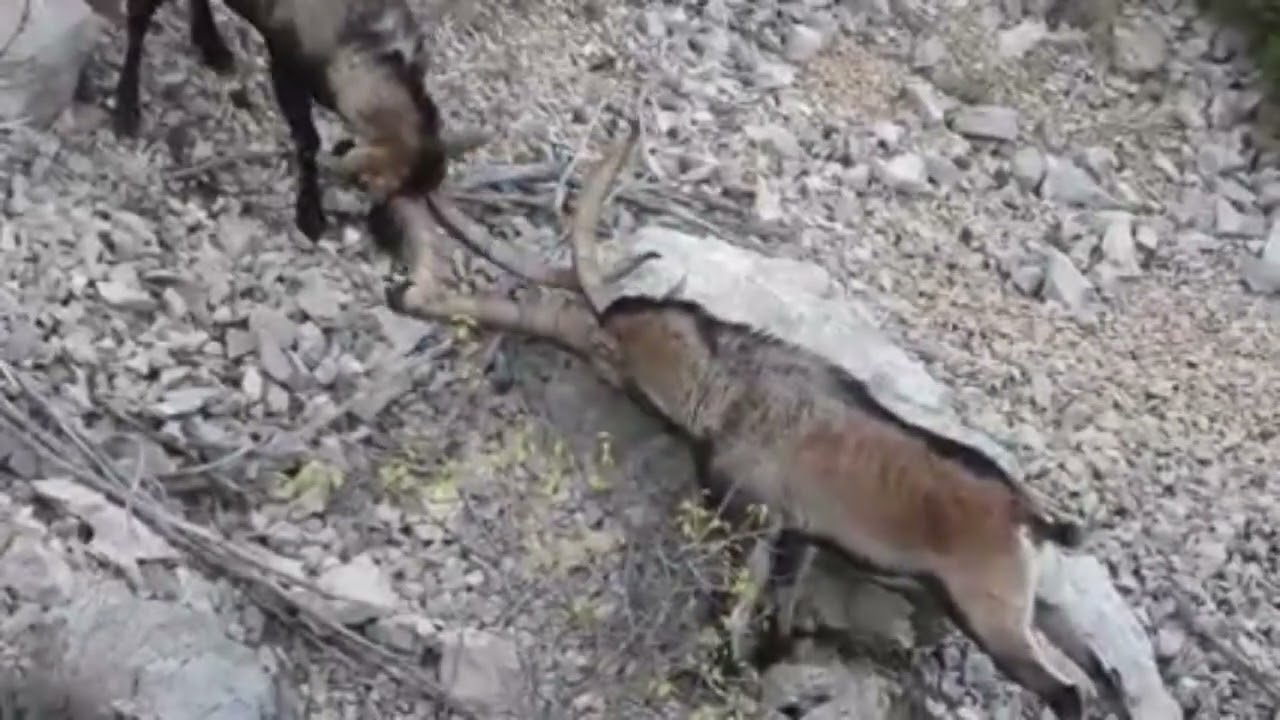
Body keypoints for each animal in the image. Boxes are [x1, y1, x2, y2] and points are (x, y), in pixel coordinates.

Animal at [111, 0, 467, 241]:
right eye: (387, 188)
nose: (382, 233)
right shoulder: (285, 66)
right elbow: (307, 140)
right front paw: (309, 214)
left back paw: (213, 46)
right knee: (137, 22)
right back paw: (126, 106)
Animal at [379, 124, 1101, 719]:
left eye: (609, 365)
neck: (727, 388)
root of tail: (1025, 516)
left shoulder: (740, 509)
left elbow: (729, 600)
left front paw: (721, 669)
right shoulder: (796, 531)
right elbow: (779, 603)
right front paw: (768, 659)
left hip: (989, 611)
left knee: (1064, 691)